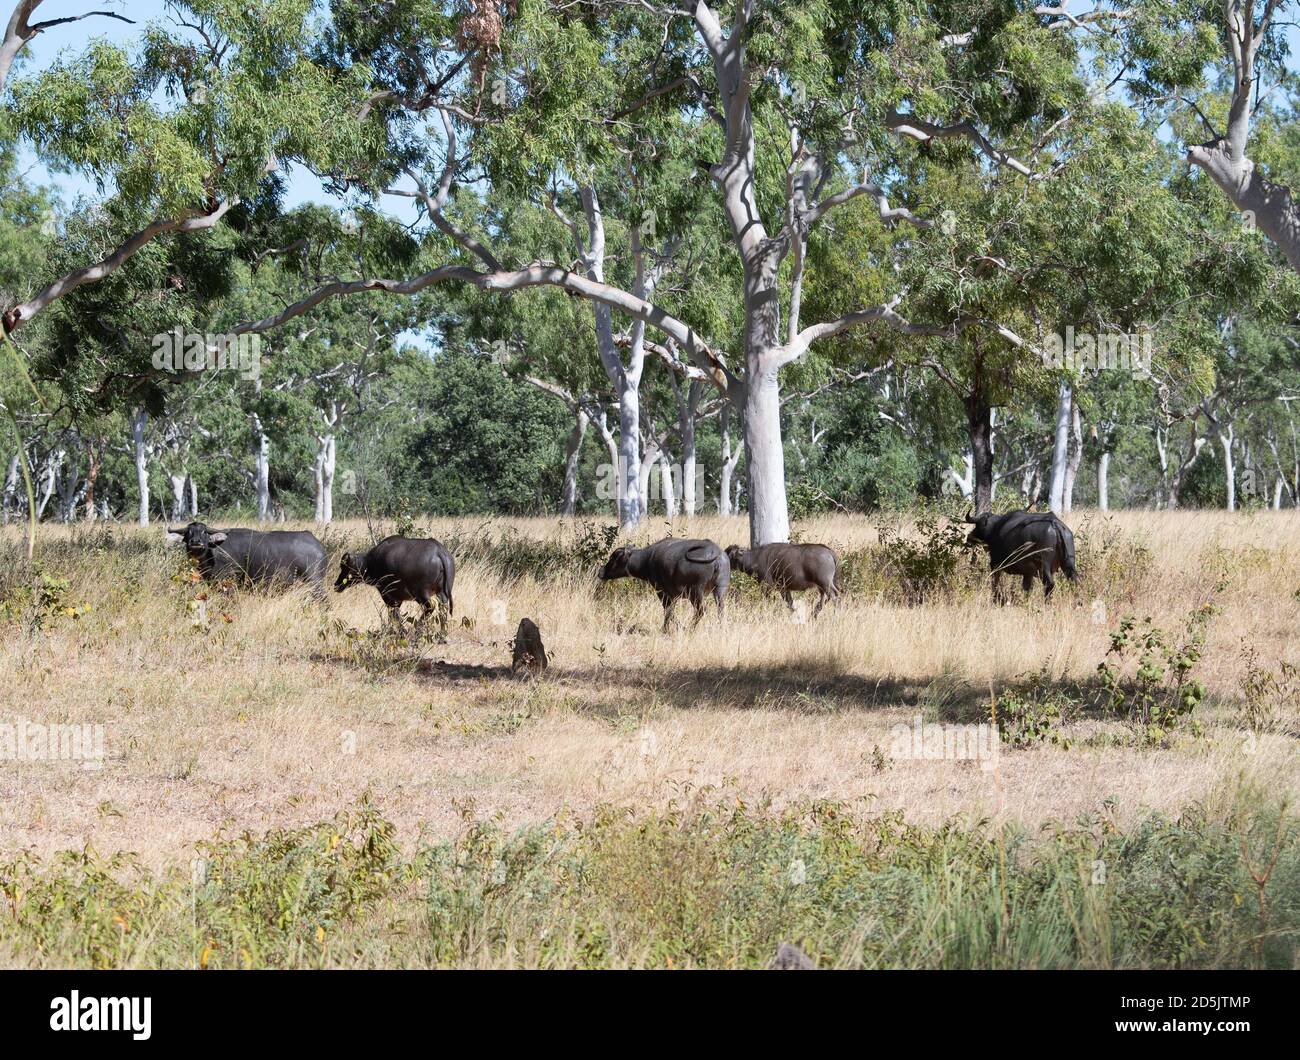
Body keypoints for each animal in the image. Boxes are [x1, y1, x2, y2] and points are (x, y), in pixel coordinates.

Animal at [598, 538, 730, 632]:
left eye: (613, 557)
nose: (601, 572)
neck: (646, 560)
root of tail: (716, 552)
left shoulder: (661, 591)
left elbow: (668, 611)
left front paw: (666, 629)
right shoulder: (674, 595)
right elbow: (671, 611)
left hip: (695, 592)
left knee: (701, 610)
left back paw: (690, 629)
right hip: (720, 590)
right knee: (721, 610)